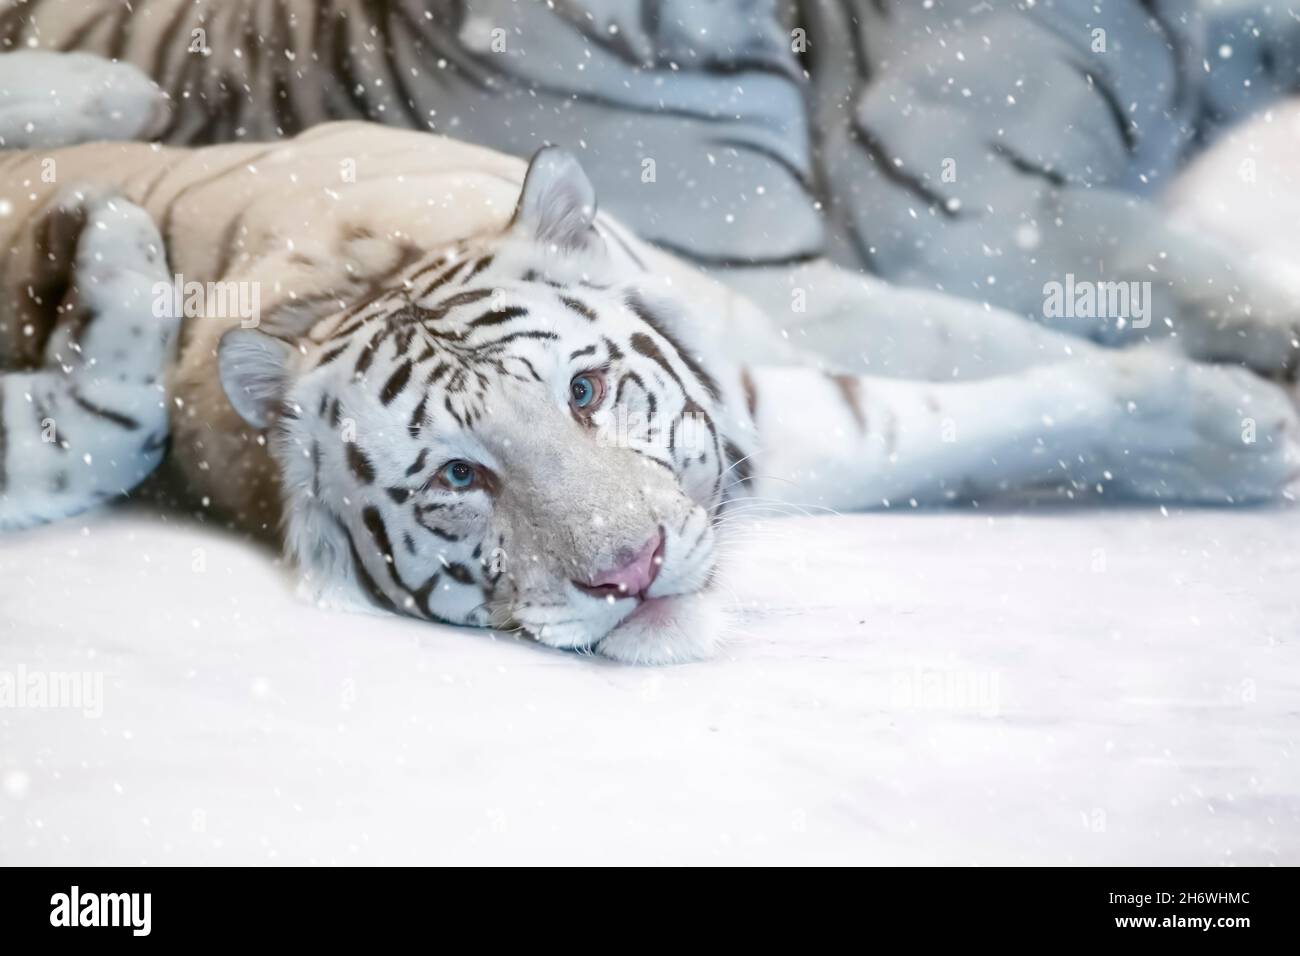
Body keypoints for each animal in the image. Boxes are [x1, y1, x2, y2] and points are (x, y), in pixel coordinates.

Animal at [0, 60, 1297, 662]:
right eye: (459, 477)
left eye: (583, 391)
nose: (633, 571)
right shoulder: (775, 404)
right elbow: (961, 413)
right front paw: (1242, 428)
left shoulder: (757, 319)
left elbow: (980, 334)